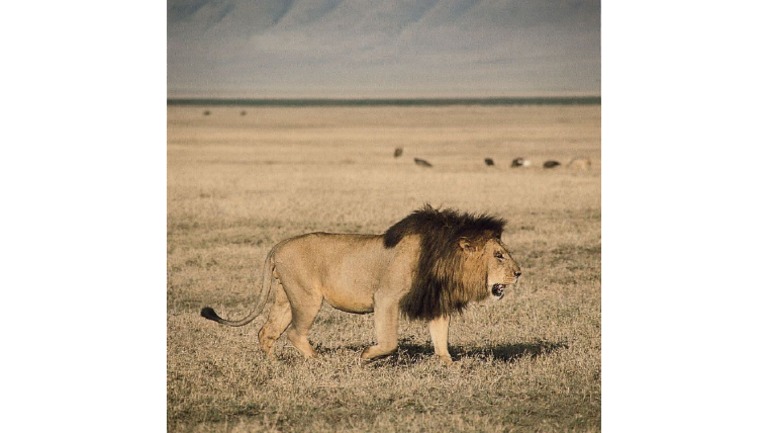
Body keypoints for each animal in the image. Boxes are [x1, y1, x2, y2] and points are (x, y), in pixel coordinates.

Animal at [201, 205, 522, 363]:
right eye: (499, 255)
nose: (519, 273)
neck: (443, 258)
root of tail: (277, 247)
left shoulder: (434, 300)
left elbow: (441, 337)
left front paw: (450, 365)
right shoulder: (386, 298)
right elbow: (389, 341)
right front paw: (367, 356)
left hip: (284, 297)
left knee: (266, 332)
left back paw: (274, 364)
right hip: (307, 297)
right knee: (293, 333)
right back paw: (317, 361)